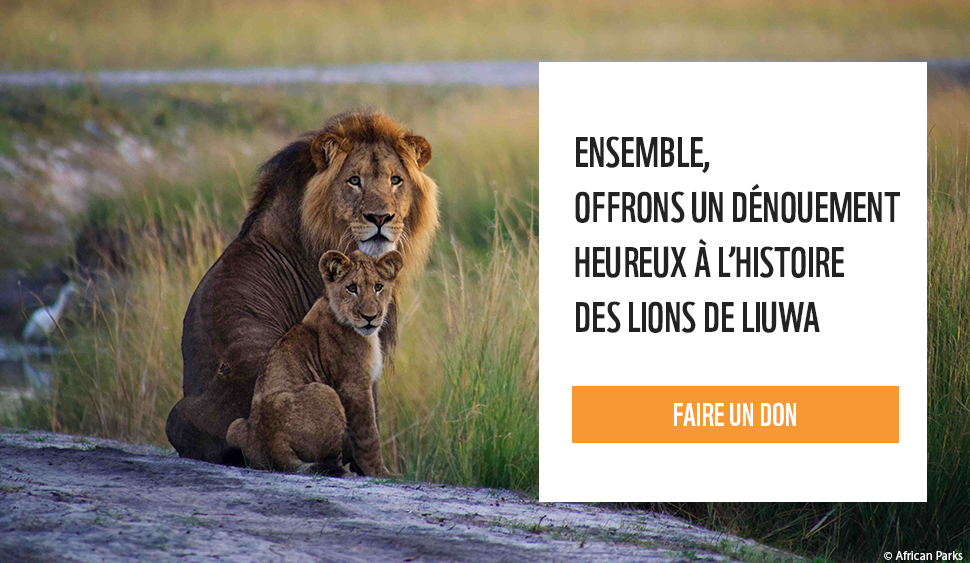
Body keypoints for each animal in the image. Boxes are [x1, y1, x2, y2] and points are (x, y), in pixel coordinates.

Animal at [226, 250, 402, 477]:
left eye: (378, 287)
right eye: (352, 288)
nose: (370, 317)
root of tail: (273, 441)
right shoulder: (353, 386)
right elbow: (368, 435)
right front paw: (379, 473)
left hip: (234, 427)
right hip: (326, 391)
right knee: (331, 461)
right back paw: (347, 472)